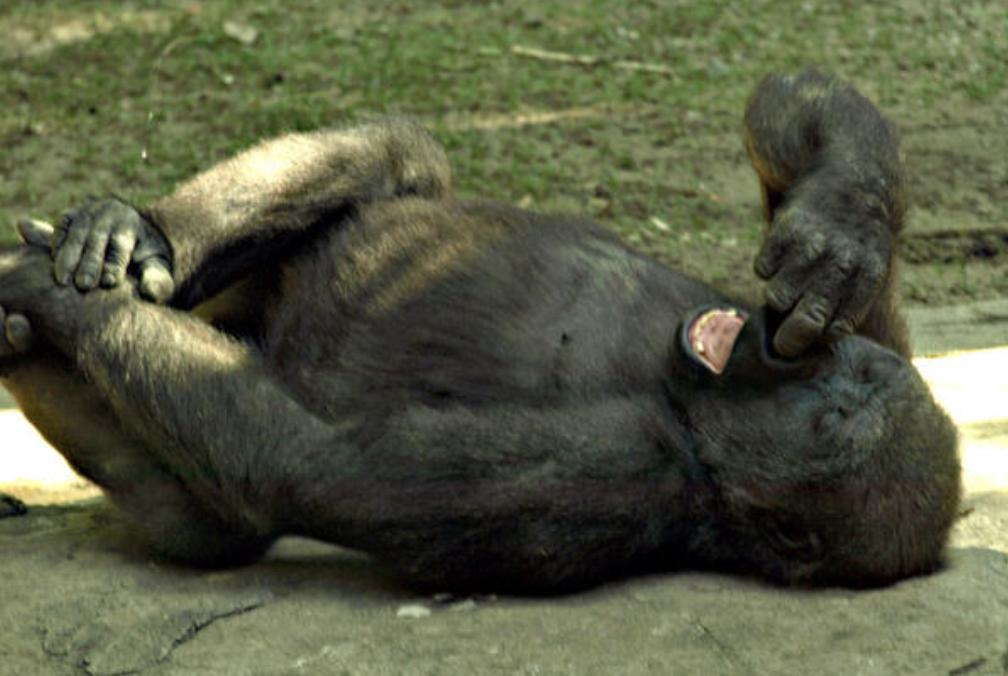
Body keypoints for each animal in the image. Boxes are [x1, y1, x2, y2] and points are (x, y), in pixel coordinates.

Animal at [0, 69, 959, 593]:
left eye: (825, 412)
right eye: (828, 362)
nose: (773, 342)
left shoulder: (625, 473)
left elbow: (314, 459)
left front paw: (60, 304)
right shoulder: (879, 330)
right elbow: (798, 114)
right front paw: (839, 231)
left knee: (219, 516)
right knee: (396, 157)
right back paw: (138, 233)